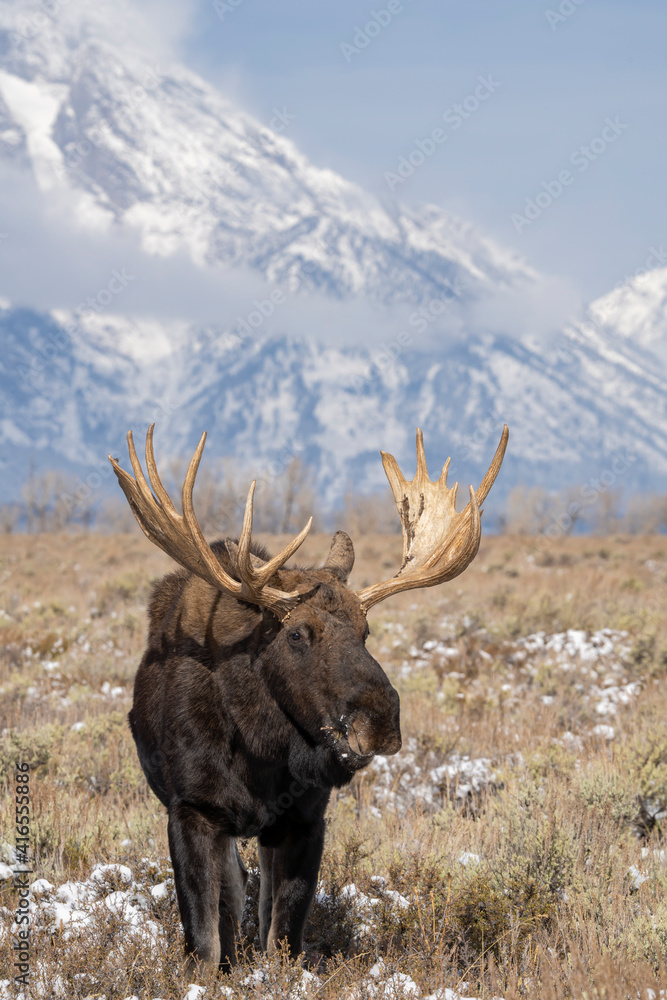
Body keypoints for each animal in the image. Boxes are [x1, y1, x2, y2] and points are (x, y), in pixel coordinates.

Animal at [108, 422, 508, 972]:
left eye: (366, 630)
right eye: (297, 634)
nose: (381, 720)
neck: (257, 746)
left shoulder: (305, 818)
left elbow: (285, 933)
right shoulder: (192, 810)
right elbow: (205, 939)